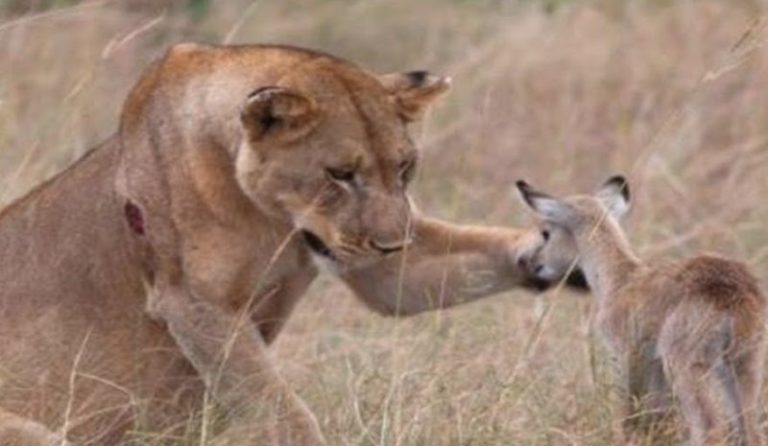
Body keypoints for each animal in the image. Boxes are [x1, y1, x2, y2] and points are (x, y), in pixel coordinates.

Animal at [0, 43, 563, 445]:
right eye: (340, 174)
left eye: (404, 167)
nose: (392, 242)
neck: (270, 218)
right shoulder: (194, 304)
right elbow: (283, 412)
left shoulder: (379, 270)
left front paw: (557, 246)